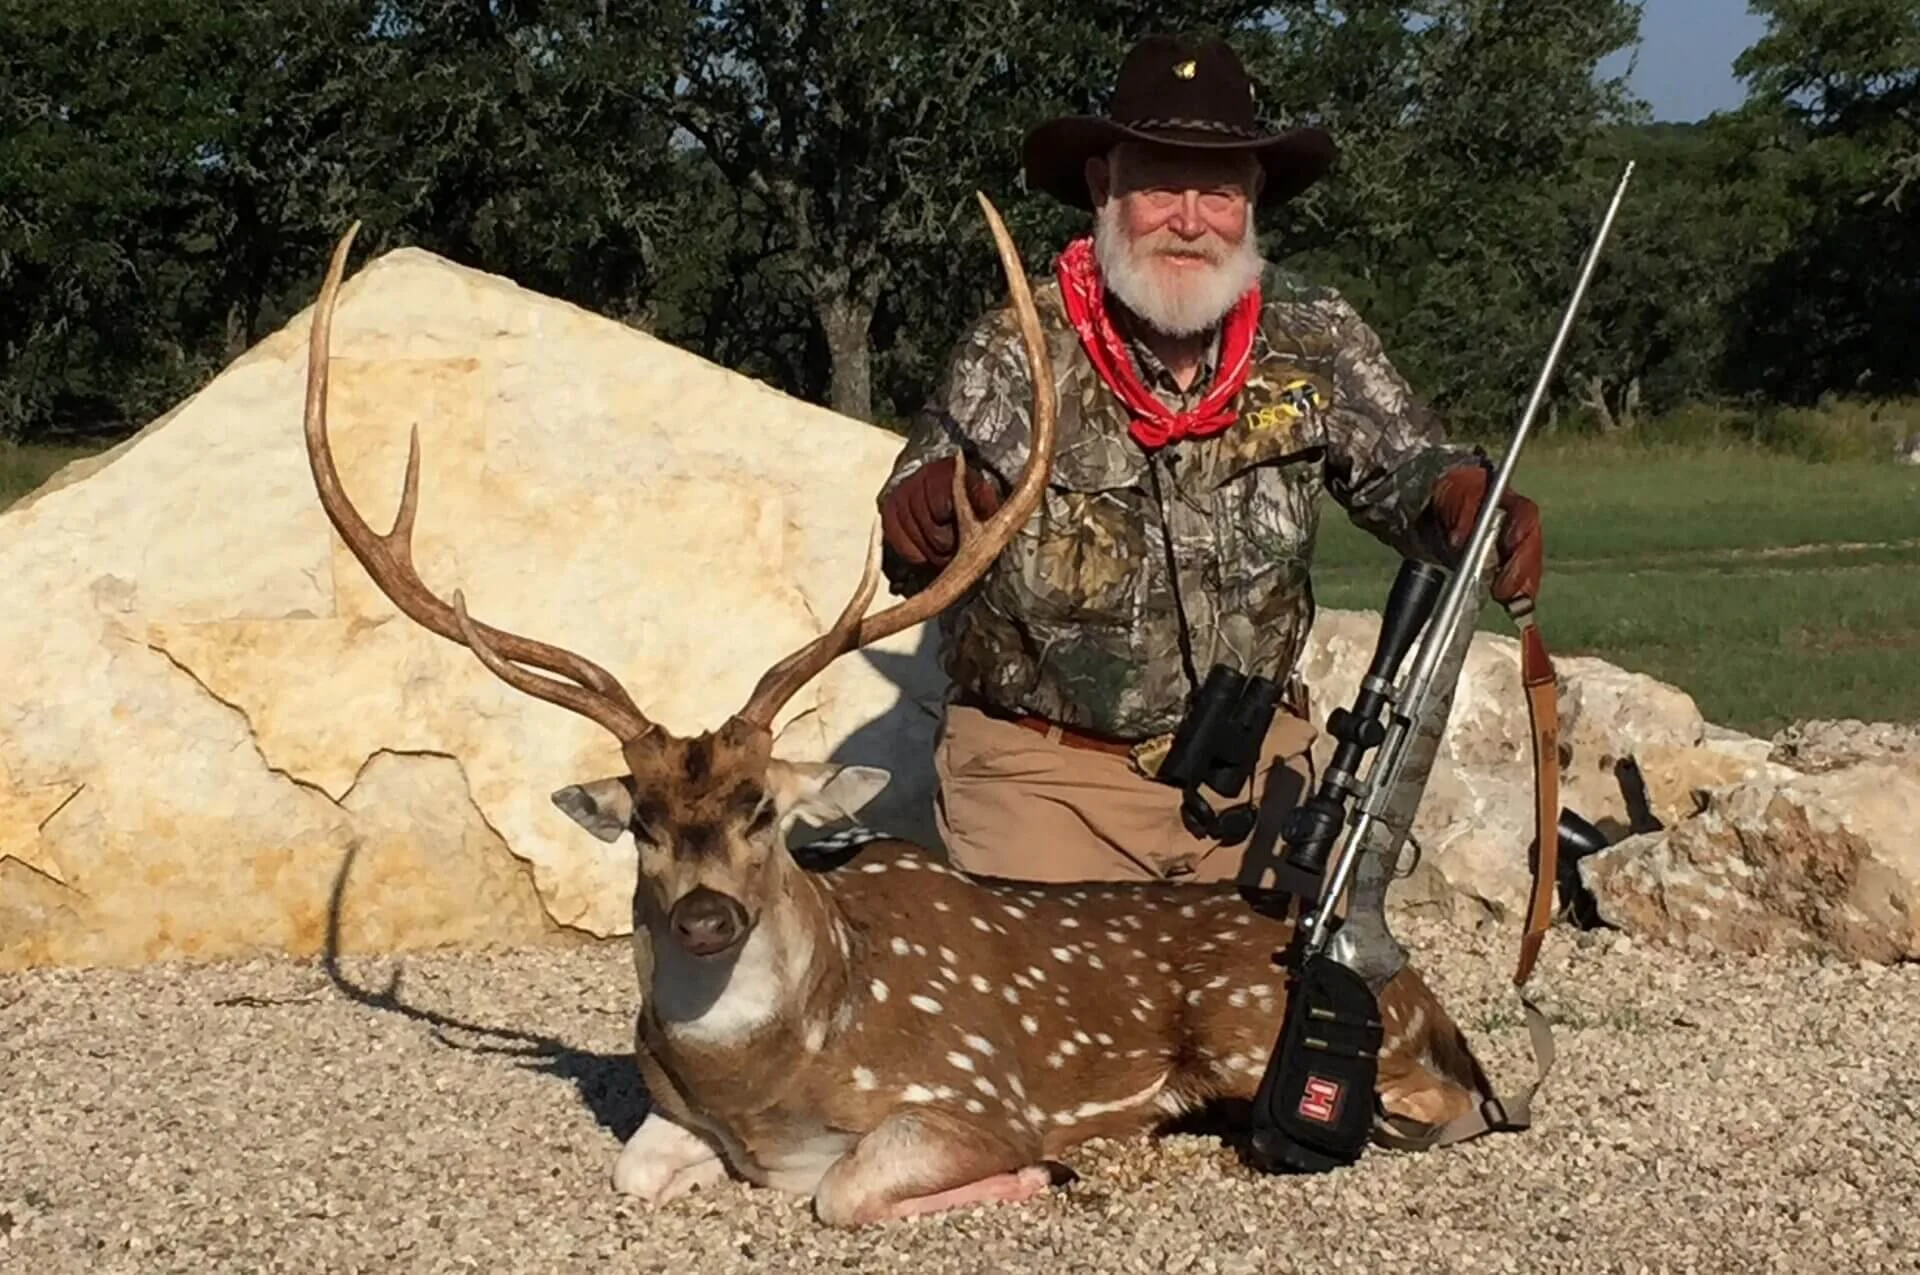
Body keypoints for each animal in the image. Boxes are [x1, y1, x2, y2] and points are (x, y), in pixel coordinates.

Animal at [300, 195, 1507, 1229]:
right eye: (640, 821)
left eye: (763, 809)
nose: (705, 917)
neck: (768, 1082)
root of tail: (1411, 987)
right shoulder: (679, 1126)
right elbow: (634, 1169)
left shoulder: (973, 1093)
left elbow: (847, 1190)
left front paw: (1040, 1173)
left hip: (1259, 1028)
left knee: (1438, 1106)